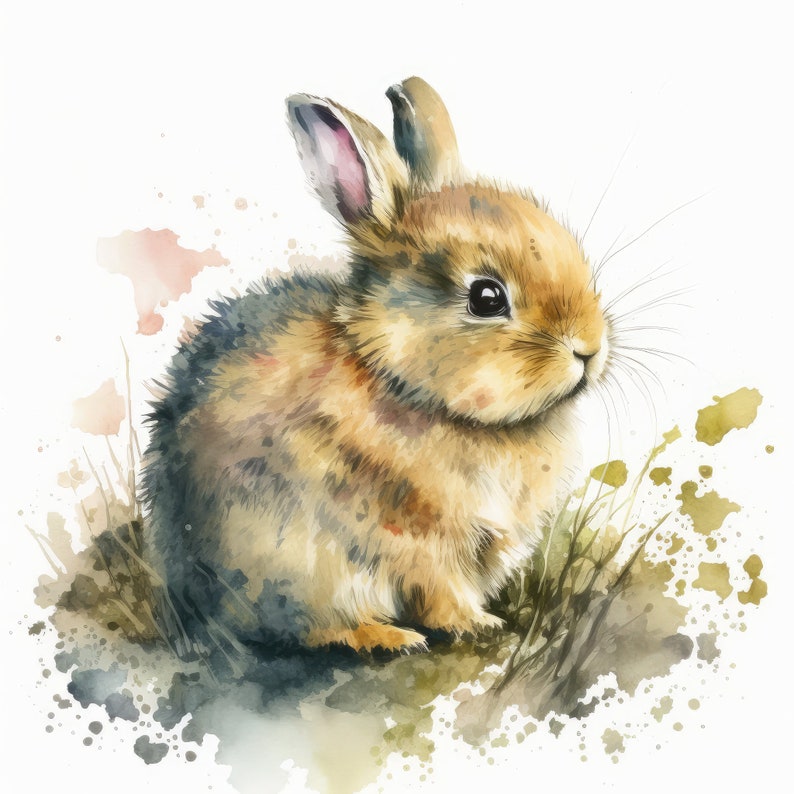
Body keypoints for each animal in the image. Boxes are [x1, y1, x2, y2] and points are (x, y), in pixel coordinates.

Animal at [142, 76, 609, 658]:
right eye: (486, 297)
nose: (589, 348)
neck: (400, 381)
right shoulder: (416, 541)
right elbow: (439, 592)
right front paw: (479, 624)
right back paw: (386, 635)